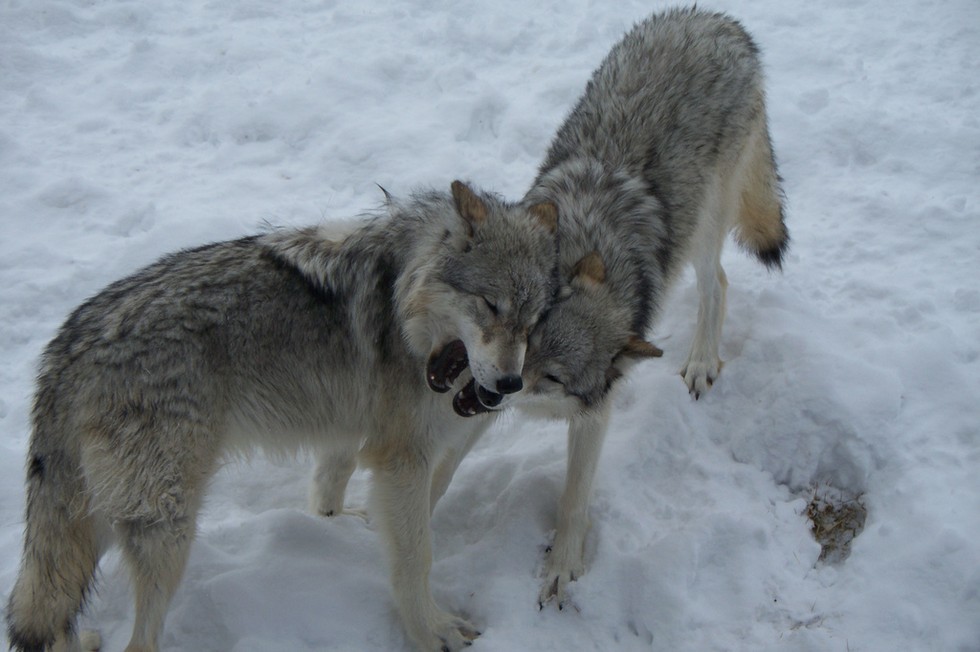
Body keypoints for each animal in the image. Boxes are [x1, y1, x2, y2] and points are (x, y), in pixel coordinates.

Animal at [5, 181, 559, 652]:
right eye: (490, 305)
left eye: (532, 319)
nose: (509, 386)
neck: (406, 305)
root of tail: (67, 345)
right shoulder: (403, 459)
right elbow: (415, 558)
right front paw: (432, 632)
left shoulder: (352, 434)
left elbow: (329, 486)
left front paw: (337, 526)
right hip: (167, 528)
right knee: (135, 642)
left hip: (101, 517)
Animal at [451, 8, 789, 608]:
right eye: (525, 334)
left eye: (555, 377)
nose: (499, 387)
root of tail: (718, 19)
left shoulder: (592, 417)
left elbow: (573, 500)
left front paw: (562, 568)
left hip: (703, 227)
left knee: (719, 284)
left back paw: (702, 361)